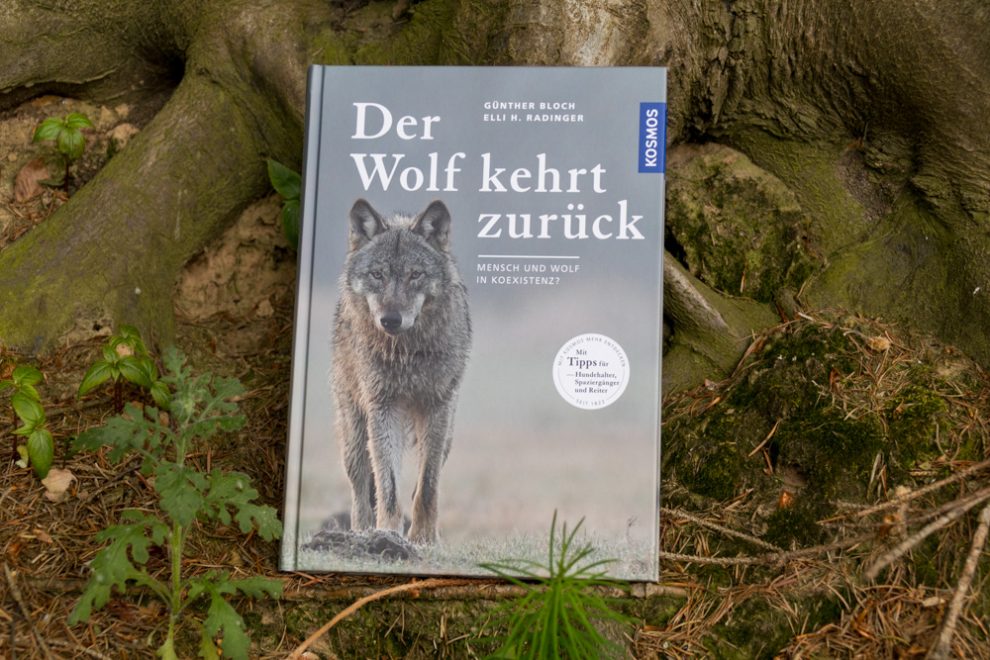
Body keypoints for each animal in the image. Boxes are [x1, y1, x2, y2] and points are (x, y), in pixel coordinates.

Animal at [331, 198, 471, 545]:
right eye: (377, 275)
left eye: (415, 275)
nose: (391, 320)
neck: (408, 353)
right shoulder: (384, 408)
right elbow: (388, 486)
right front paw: (387, 534)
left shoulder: (438, 408)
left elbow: (427, 487)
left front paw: (424, 538)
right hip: (355, 434)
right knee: (360, 489)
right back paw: (361, 534)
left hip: (447, 434)